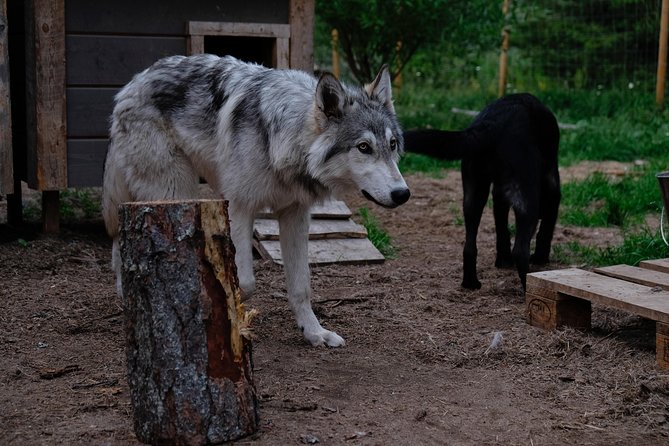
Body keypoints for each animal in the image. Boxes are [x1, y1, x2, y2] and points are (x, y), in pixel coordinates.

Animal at [102, 54, 410, 347]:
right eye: (363, 147)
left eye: (392, 144)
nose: (402, 194)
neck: (285, 138)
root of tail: (134, 81)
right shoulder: (239, 207)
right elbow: (245, 282)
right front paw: (233, 320)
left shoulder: (295, 215)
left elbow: (301, 286)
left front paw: (314, 333)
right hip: (175, 190)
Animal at [403, 93, 560, 290]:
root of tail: (493, 123)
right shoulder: (552, 189)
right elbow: (546, 229)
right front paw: (540, 258)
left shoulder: (499, 196)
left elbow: (502, 230)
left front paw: (503, 261)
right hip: (526, 200)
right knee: (520, 250)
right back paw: (527, 286)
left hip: (473, 195)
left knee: (469, 246)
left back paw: (471, 283)